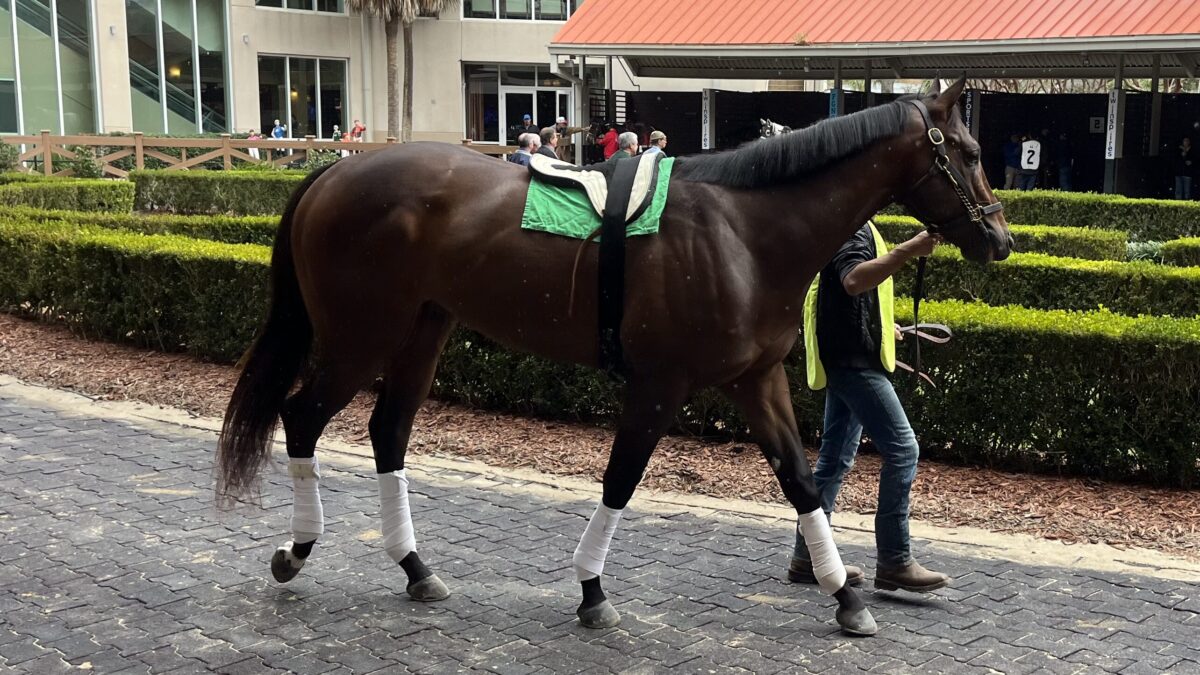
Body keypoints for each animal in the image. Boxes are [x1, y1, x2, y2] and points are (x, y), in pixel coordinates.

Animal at [216, 77, 1010, 637]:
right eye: (969, 154)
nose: (1001, 239)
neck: (744, 231)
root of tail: (332, 175)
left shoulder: (754, 380)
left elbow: (802, 480)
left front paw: (845, 594)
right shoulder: (661, 383)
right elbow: (621, 479)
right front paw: (592, 589)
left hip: (422, 331)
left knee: (388, 433)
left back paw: (416, 568)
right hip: (361, 337)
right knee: (302, 417)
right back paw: (298, 548)